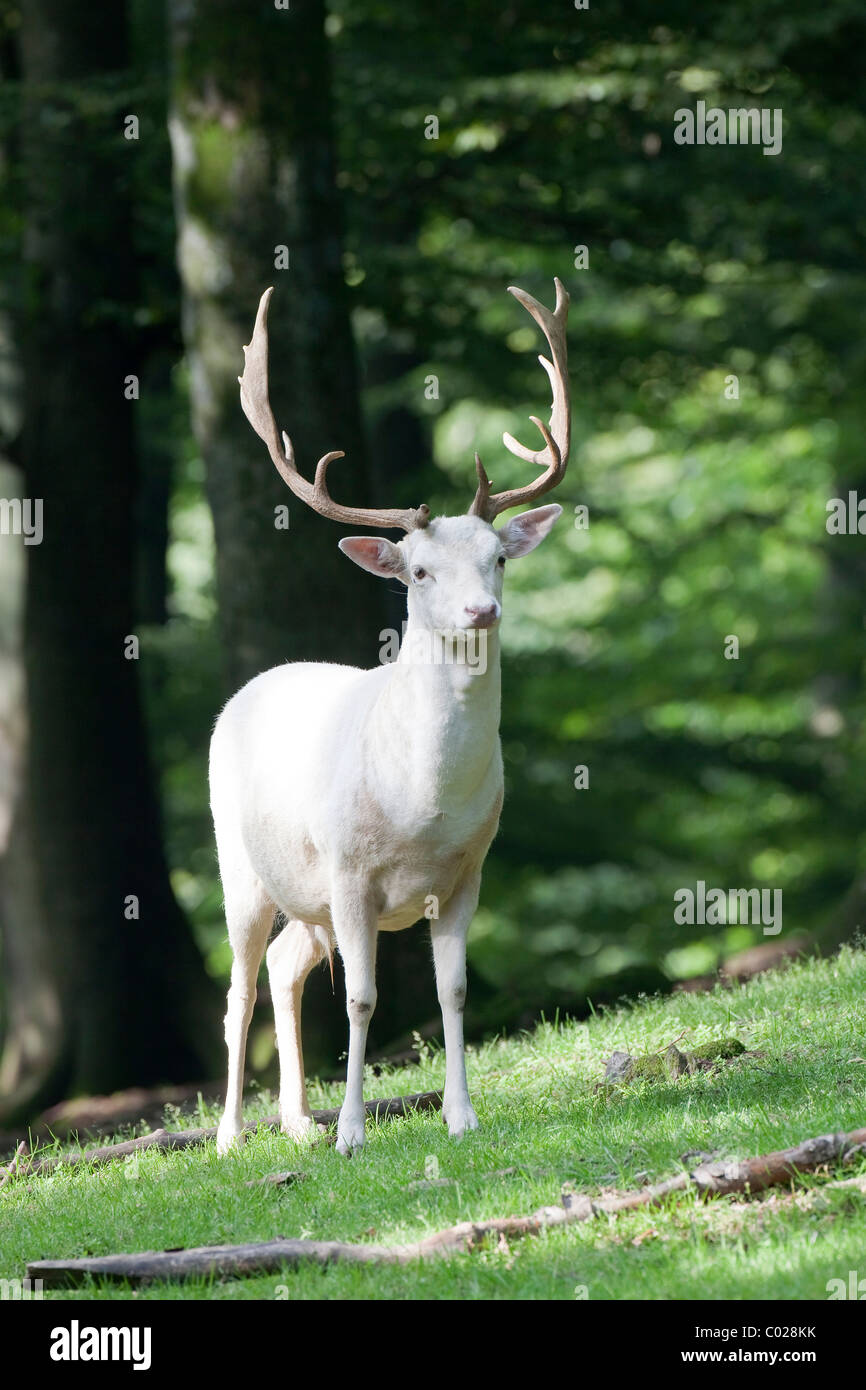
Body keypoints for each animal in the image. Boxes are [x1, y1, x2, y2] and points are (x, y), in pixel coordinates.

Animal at [211, 278, 570, 1156]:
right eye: (419, 570)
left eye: (499, 558)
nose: (480, 611)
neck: (422, 806)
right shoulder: (349, 872)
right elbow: (364, 998)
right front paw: (353, 1134)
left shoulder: (471, 868)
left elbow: (455, 991)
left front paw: (461, 1116)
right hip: (243, 867)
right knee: (240, 986)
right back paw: (233, 1134)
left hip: (303, 894)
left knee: (285, 965)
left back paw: (295, 1121)